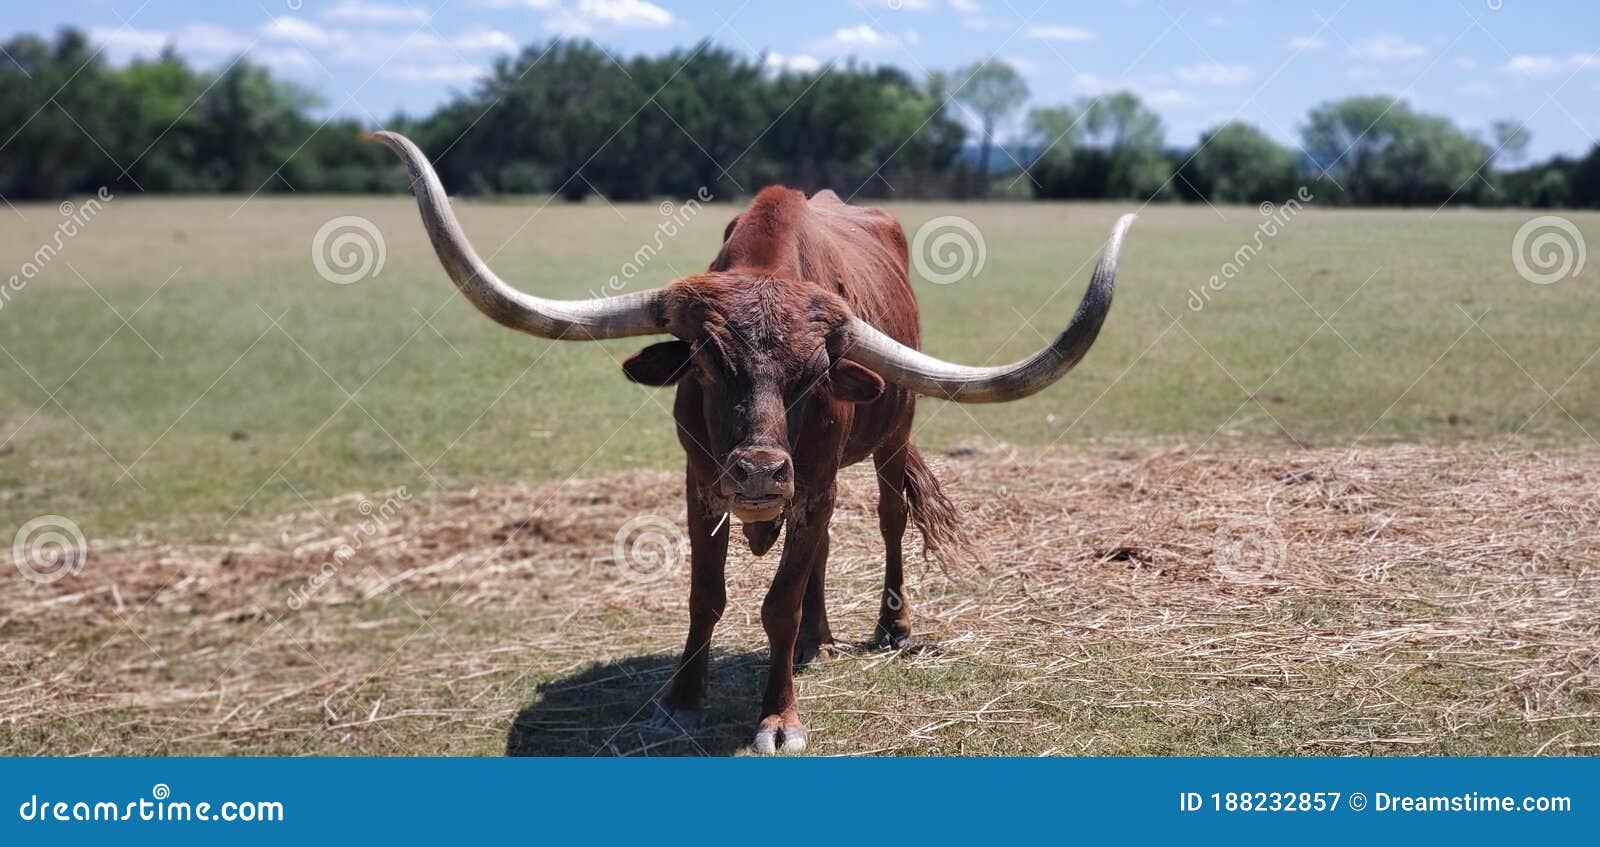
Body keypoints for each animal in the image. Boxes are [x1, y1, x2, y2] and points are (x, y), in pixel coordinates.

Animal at [371, 131, 1134, 754]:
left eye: (817, 372)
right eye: (708, 362)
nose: (761, 473)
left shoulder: (813, 481)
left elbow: (779, 602)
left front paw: (778, 717)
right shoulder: (701, 483)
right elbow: (706, 594)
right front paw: (681, 702)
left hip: (890, 440)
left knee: (889, 519)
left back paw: (889, 626)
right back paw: (818, 639)